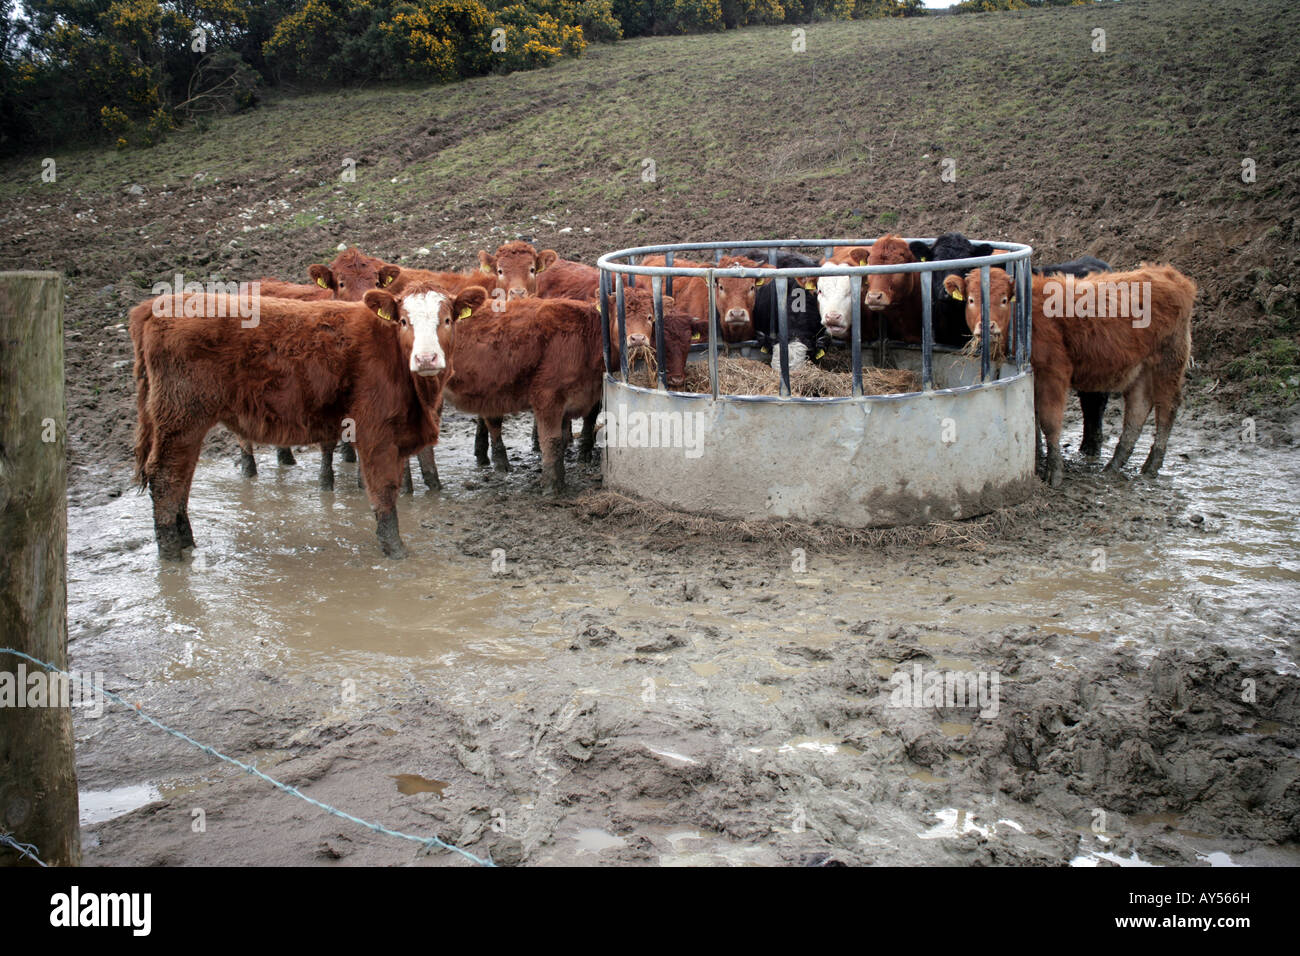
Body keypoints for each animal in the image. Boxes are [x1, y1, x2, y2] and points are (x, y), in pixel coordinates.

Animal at [130, 284, 482, 560]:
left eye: (447, 320)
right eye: (404, 321)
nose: (426, 359)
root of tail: (154, 307)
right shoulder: (376, 432)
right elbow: (384, 494)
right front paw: (397, 553)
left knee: (181, 480)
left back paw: (187, 543)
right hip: (181, 418)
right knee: (166, 478)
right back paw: (172, 553)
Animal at [944, 265, 1196, 487]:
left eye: (1004, 300)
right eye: (971, 300)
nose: (987, 327)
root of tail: (1169, 274)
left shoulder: (1053, 373)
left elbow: (1050, 422)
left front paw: (1054, 471)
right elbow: (1034, 420)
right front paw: (1038, 459)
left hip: (1169, 361)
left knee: (1166, 409)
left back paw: (1152, 465)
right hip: (1141, 369)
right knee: (1138, 409)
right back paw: (1114, 464)